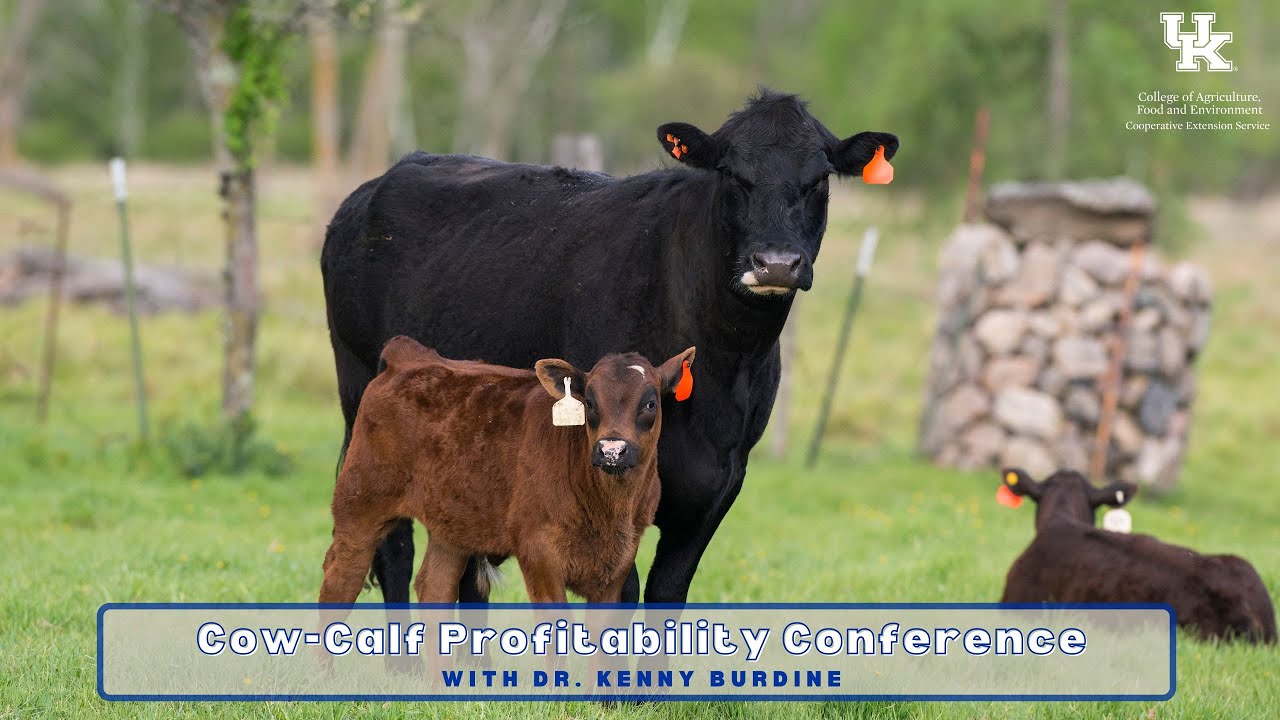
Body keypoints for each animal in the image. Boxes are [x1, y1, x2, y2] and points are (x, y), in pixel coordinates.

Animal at [319, 337, 694, 605]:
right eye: (589, 402)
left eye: (650, 403)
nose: (611, 450)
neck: (608, 509)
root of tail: (410, 358)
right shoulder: (537, 550)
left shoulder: (619, 562)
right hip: (360, 503)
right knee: (341, 578)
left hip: (451, 522)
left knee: (434, 587)